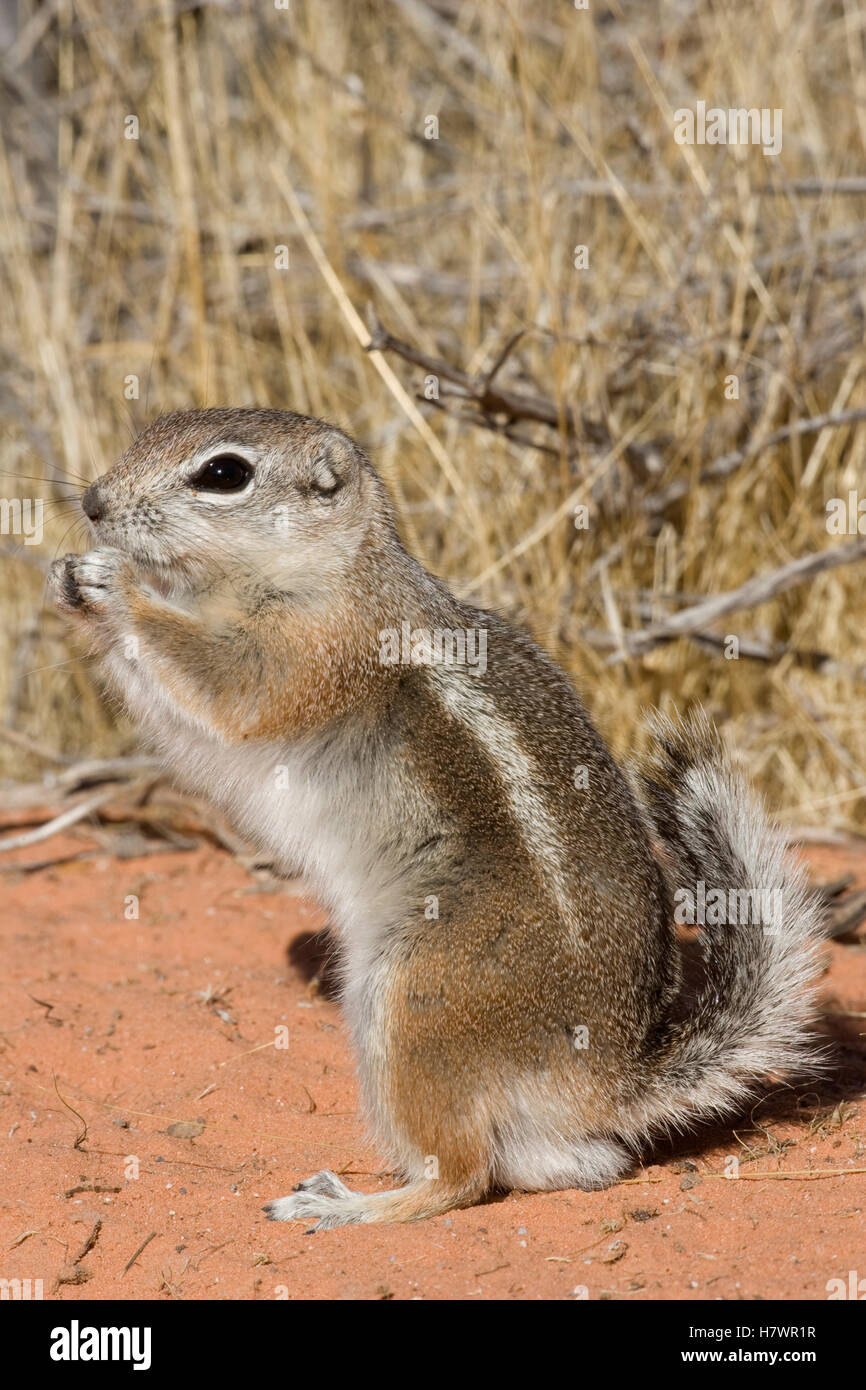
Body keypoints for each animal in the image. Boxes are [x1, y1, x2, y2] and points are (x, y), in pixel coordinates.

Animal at [49, 407, 824, 1230]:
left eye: (224, 474)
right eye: (149, 429)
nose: (93, 502)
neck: (339, 569)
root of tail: (610, 1080)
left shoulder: (313, 654)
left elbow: (225, 684)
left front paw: (117, 586)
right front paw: (67, 579)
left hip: (418, 994)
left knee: (461, 1177)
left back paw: (348, 1206)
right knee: (568, 1168)